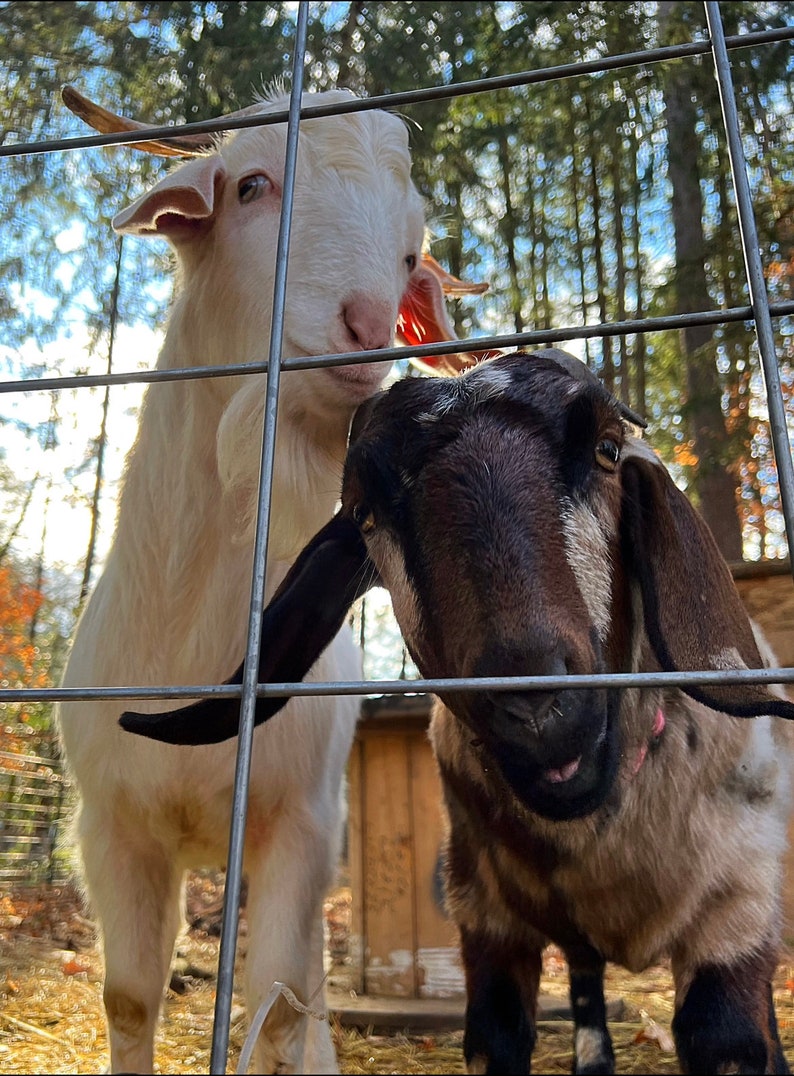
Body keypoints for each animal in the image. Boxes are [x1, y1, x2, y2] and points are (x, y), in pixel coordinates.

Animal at [56, 84, 481, 1075]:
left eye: (410, 250)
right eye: (252, 185)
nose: (366, 328)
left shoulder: (303, 824)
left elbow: (278, 1001)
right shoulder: (111, 826)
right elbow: (129, 996)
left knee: (308, 991)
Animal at [125, 350, 794, 1074]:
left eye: (608, 450)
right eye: (363, 513)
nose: (535, 703)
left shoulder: (735, 913)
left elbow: (732, 1031)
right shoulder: (486, 922)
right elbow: (500, 1031)